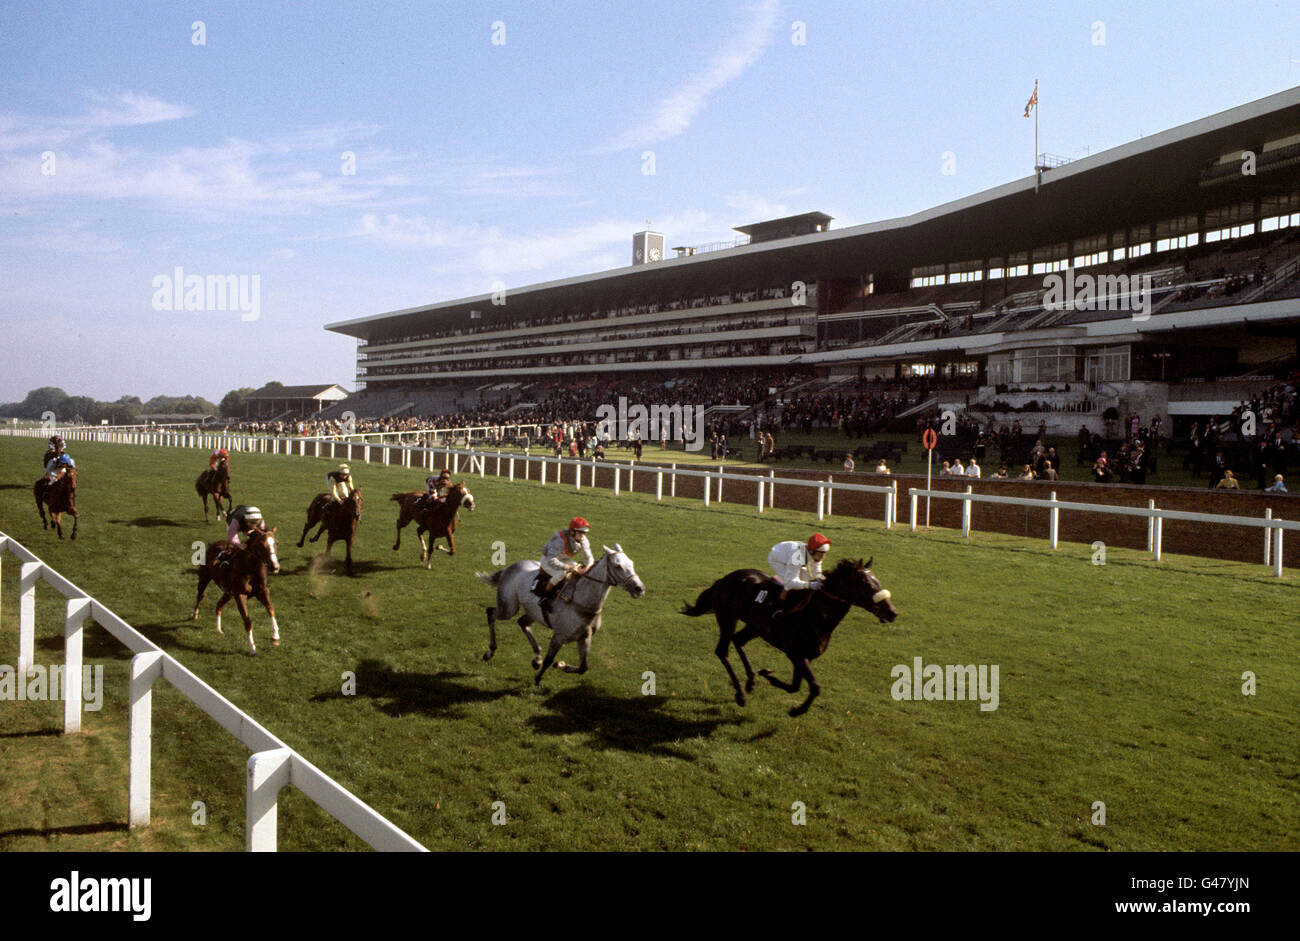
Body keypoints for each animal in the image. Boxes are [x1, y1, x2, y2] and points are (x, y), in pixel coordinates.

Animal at [190, 527, 281, 656]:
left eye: (276, 543)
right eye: (261, 544)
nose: (275, 567)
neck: (249, 569)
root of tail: (212, 545)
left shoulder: (262, 591)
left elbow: (271, 609)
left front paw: (275, 636)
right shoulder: (240, 595)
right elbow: (247, 621)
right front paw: (252, 648)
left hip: (229, 593)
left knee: (219, 605)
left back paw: (219, 629)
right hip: (204, 578)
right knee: (200, 596)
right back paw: (195, 614)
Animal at [477, 545, 645, 685]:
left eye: (631, 563)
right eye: (618, 566)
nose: (639, 588)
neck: (581, 600)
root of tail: (508, 568)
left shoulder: (584, 637)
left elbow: (583, 667)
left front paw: (560, 665)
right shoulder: (559, 636)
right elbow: (549, 660)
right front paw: (537, 679)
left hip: (533, 613)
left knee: (522, 622)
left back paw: (536, 658)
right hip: (508, 608)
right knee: (491, 612)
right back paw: (490, 652)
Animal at [681, 557, 898, 717]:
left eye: (877, 580)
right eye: (865, 583)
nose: (892, 612)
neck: (816, 614)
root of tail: (725, 579)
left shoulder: (804, 657)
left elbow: (795, 686)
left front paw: (767, 675)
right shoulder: (796, 654)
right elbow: (814, 687)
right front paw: (797, 709)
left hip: (756, 626)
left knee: (738, 641)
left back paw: (750, 680)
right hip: (728, 618)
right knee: (722, 651)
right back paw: (741, 694)